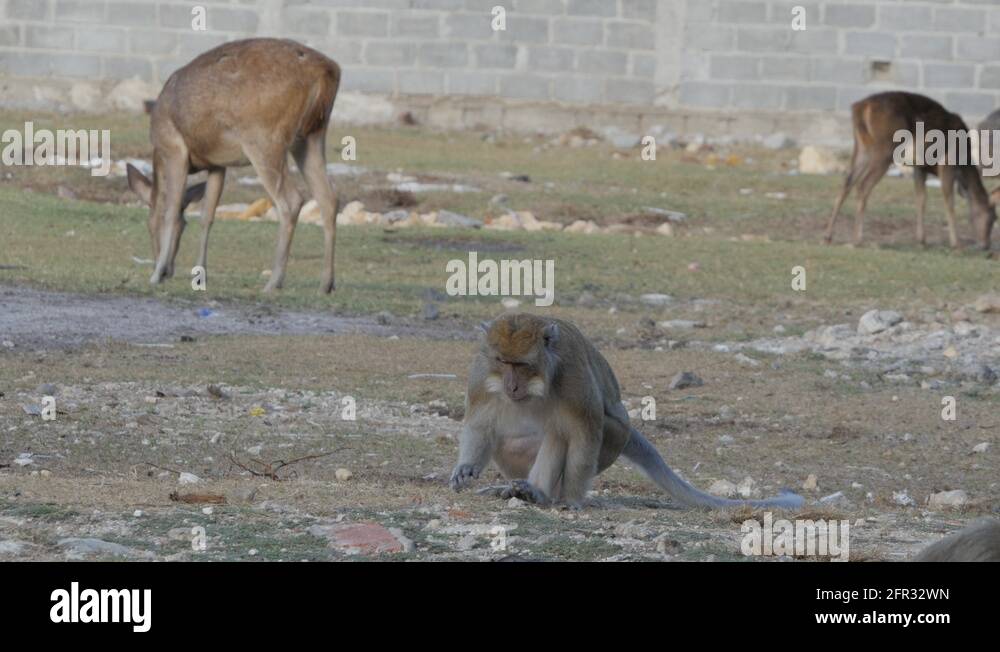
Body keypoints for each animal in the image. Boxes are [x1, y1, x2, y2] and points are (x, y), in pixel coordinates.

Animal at [450, 313, 805, 510]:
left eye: (521, 364)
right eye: (501, 361)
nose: (511, 386)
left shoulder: (573, 380)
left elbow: (584, 431)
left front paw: (572, 502)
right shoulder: (479, 375)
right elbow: (480, 423)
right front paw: (466, 468)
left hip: (613, 441)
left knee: (560, 433)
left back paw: (537, 493)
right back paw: (516, 488)